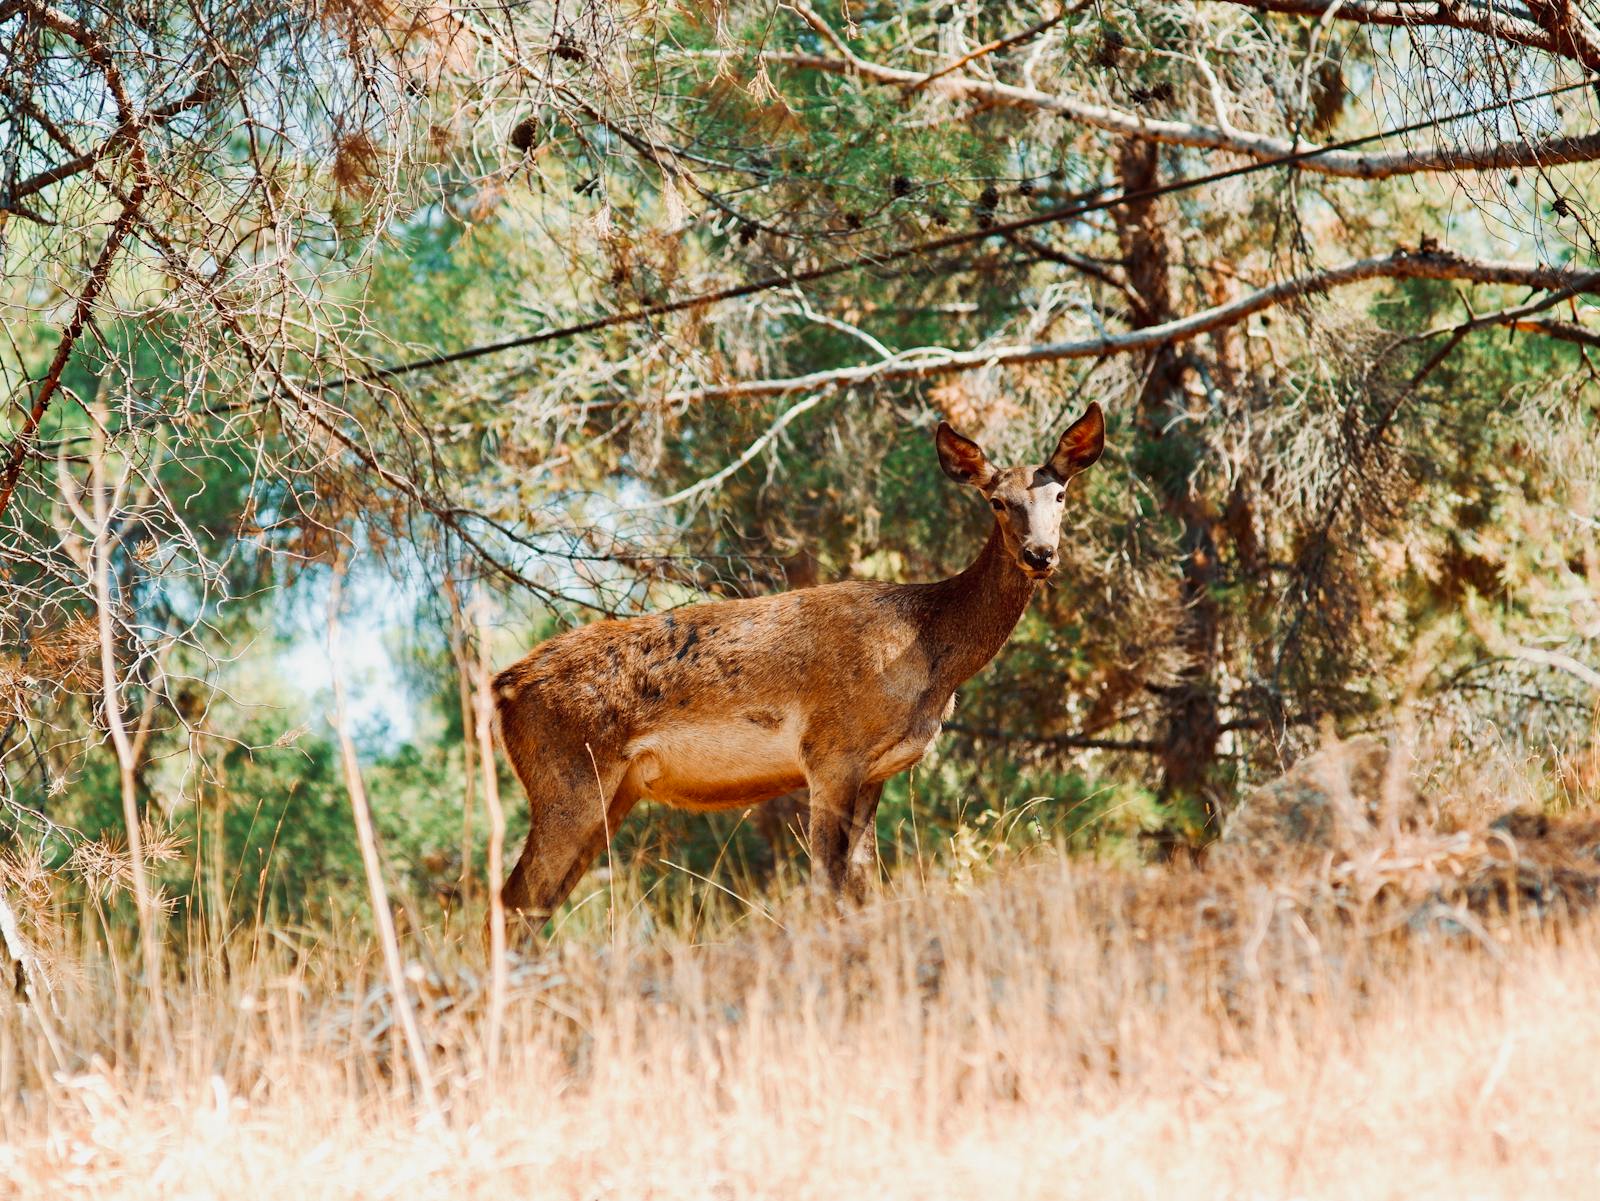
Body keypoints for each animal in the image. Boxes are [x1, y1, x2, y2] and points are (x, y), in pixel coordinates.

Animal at [491, 403, 1105, 923]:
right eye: (997, 501)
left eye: (1060, 495)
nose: (1039, 554)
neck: (929, 653)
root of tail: (503, 685)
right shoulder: (830, 751)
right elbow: (827, 882)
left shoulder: (875, 769)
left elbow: (862, 884)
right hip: (569, 780)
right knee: (515, 897)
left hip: (611, 793)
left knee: (534, 903)